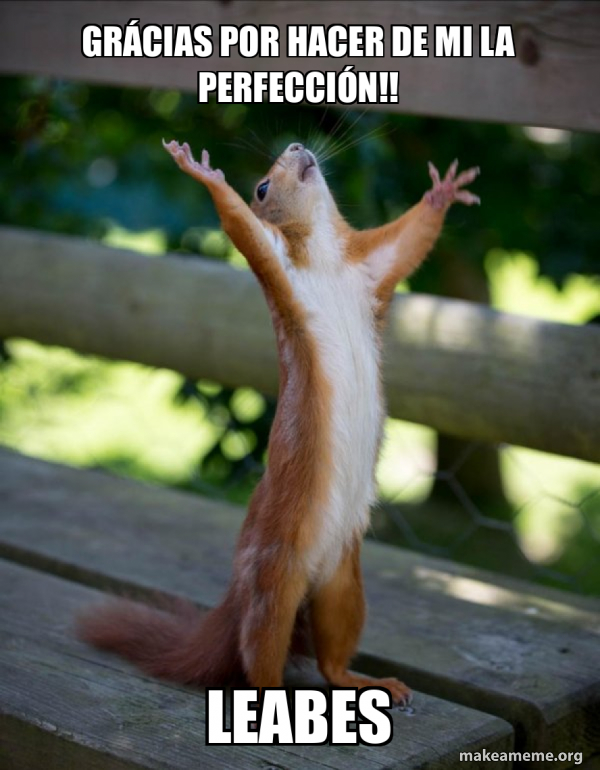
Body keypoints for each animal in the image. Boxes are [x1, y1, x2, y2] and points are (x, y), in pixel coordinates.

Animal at [77, 138, 479, 706]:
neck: (327, 259)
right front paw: (203, 173)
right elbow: (240, 226)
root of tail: (238, 593)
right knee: (259, 654)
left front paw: (442, 192)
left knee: (332, 658)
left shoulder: (372, 267)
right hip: (274, 581)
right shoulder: (277, 264)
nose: (296, 146)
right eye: (262, 187)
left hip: (344, 584)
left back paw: (367, 680)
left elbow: (410, 240)